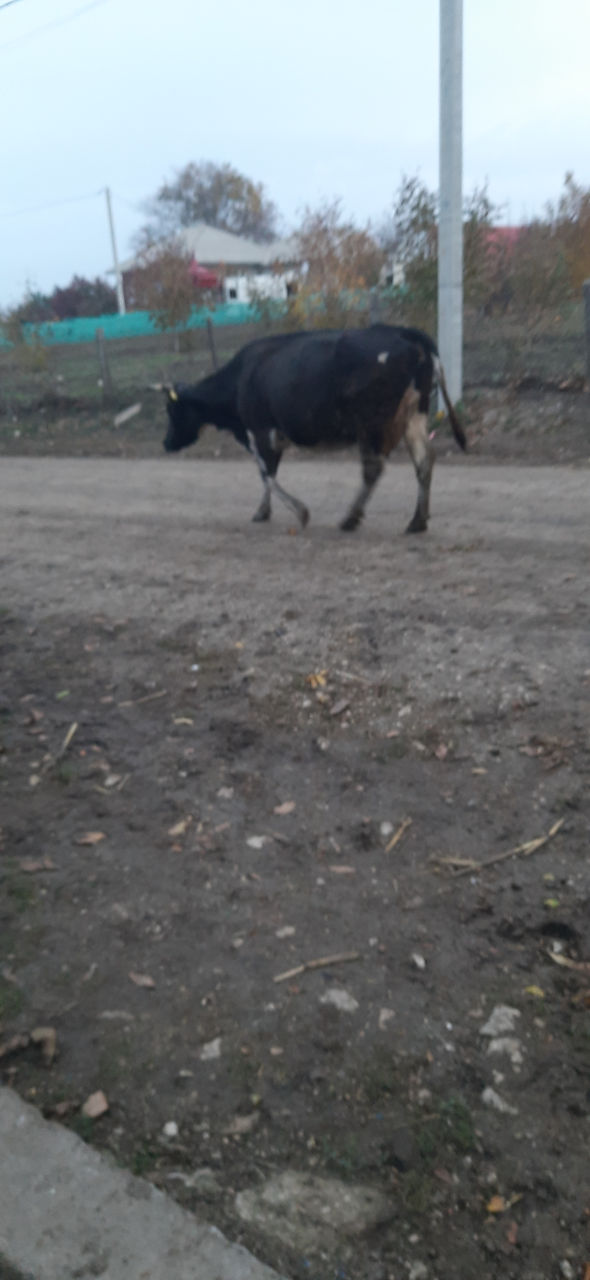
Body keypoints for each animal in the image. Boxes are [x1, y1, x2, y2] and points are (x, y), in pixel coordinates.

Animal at [161, 323, 466, 534]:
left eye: (172, 410)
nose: (166, 443)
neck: (240, 378)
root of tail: (405, 332)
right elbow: (267, 475)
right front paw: (263, 511)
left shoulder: (259, 431)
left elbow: (267, 475)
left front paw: (300, 512)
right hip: (414, 415)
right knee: (424, 461)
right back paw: (417, 521)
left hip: (371, 423)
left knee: (373, 469)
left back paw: (350, 518)